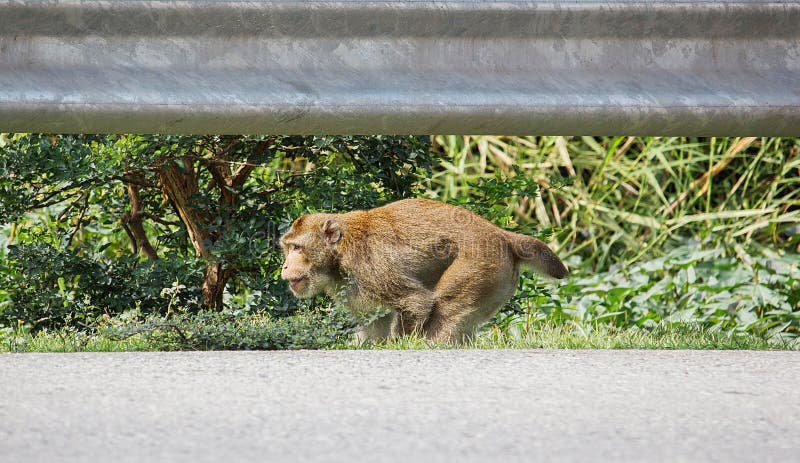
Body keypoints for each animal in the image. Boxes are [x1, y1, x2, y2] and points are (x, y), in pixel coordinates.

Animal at [279, 198, 568, 344]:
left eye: (297, 248)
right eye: (288, 247)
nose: (285, 265)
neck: (339, 254)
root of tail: (501, 234)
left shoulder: (370, 267)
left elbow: (416, 302)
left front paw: (404, 345)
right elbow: (374, 321)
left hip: (481, 266)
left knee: (446, 309)